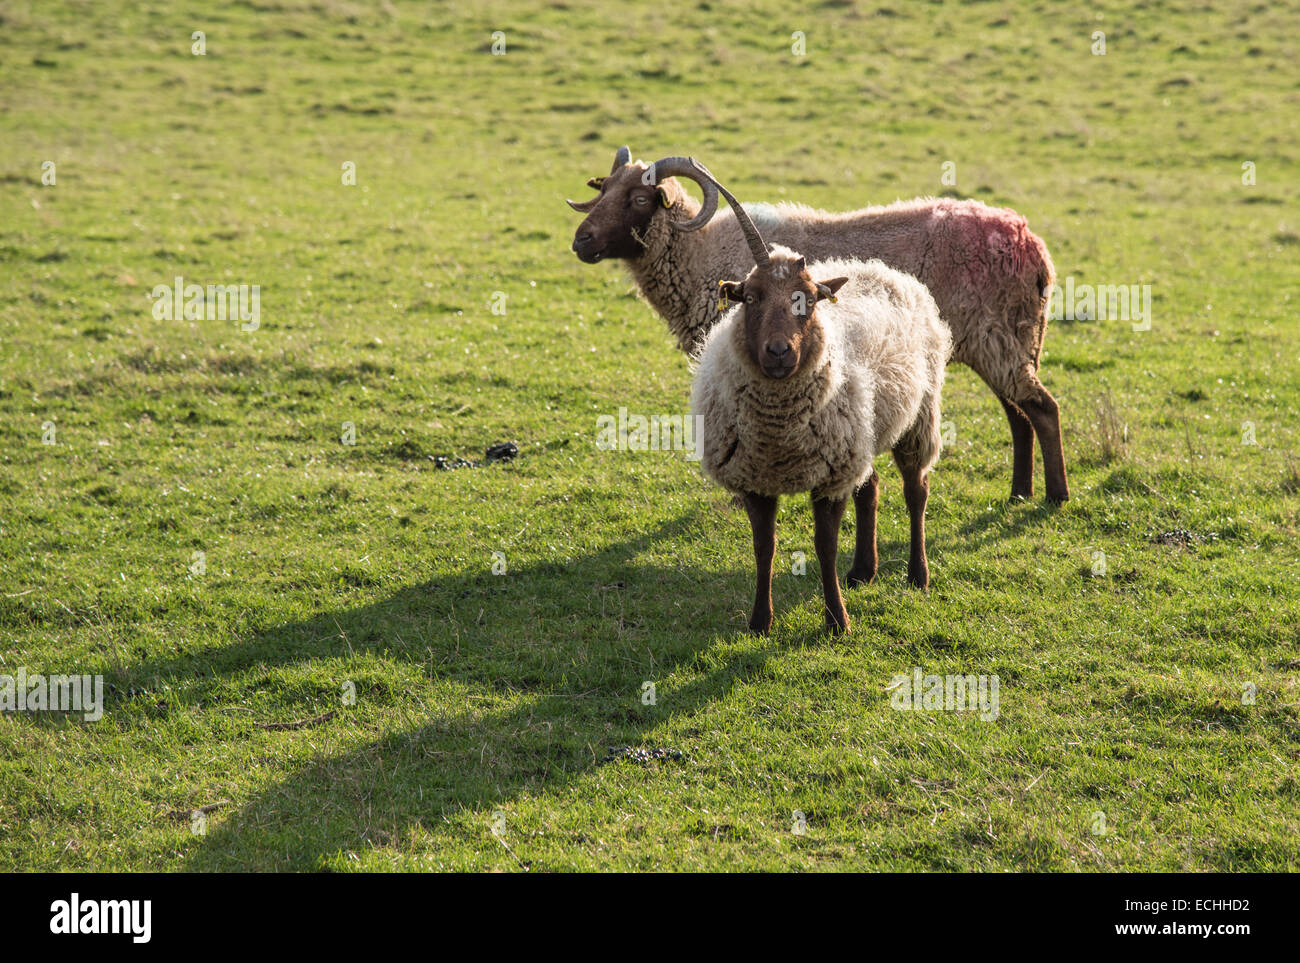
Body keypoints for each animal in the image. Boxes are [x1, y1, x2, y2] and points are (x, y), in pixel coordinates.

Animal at [567, 146, 1068, 503]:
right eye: (603, 191)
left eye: (638, 198)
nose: (581, 241)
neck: (699, 252)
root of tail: (1033, 246)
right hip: (1008, 342)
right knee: (1020, 414)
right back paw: (1019, 492)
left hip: (998, 339)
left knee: (1042, 409)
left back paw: (1055, 496)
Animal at [686, 163, 951, 635]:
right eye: (749, 297)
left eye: (808, 301)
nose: (779, 352)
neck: (778, 435)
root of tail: (877, 267)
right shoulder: (756, 478)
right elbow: (764, 547)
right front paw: (760, 621)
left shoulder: (830, 478)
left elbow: (824, 547)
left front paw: (836, 621)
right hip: (862, 434)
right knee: (871, 487)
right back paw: (863, 570)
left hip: (919, 415)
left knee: (915, 490)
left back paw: (917, 575)